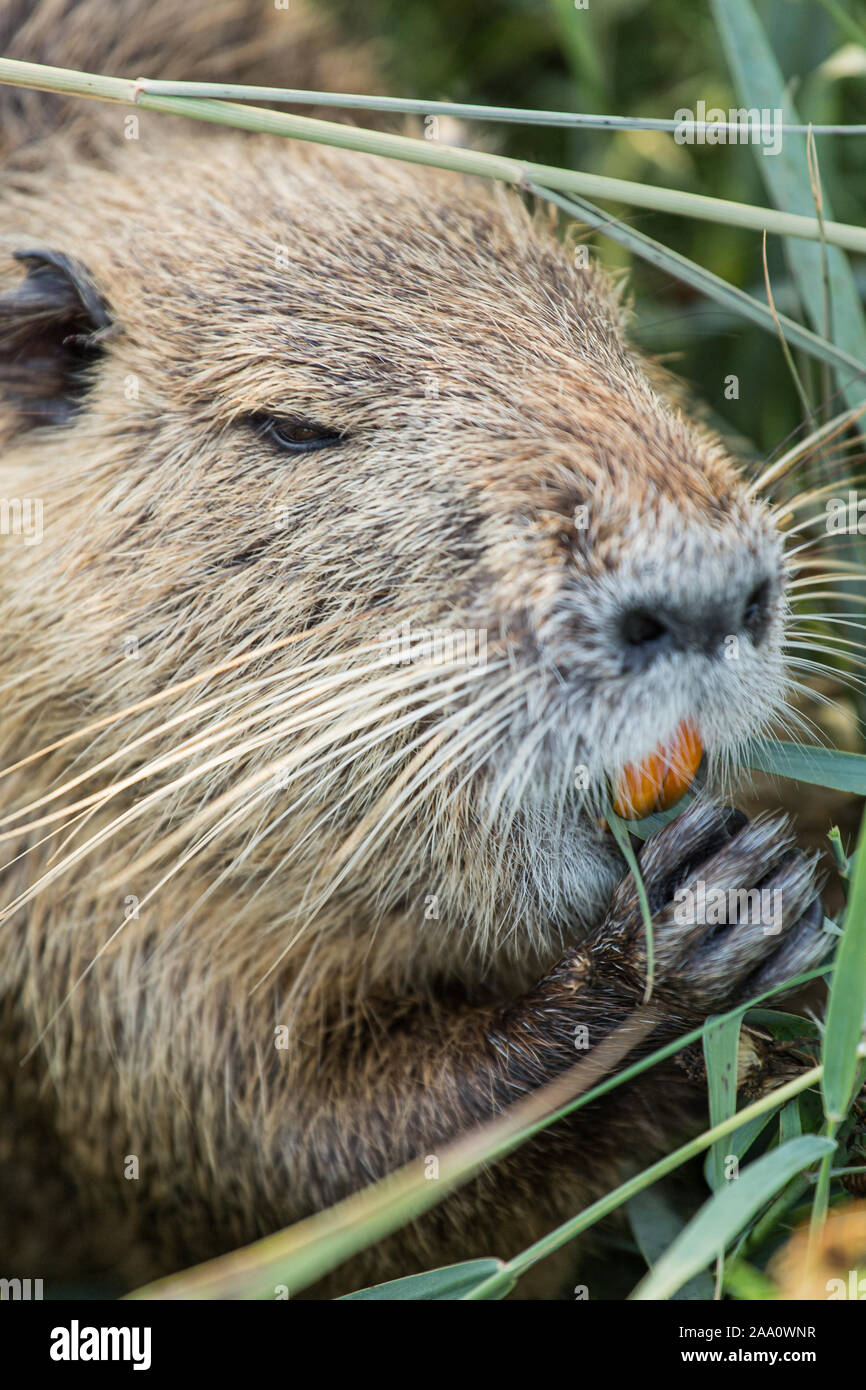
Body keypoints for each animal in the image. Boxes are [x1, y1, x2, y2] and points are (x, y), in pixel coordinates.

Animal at [0, 1, 830, 1297]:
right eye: (291, 425)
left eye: (606, 319)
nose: (697, 595)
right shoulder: (89, 935)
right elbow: (289, 1180)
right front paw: (697, 926)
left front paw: (776, 873)